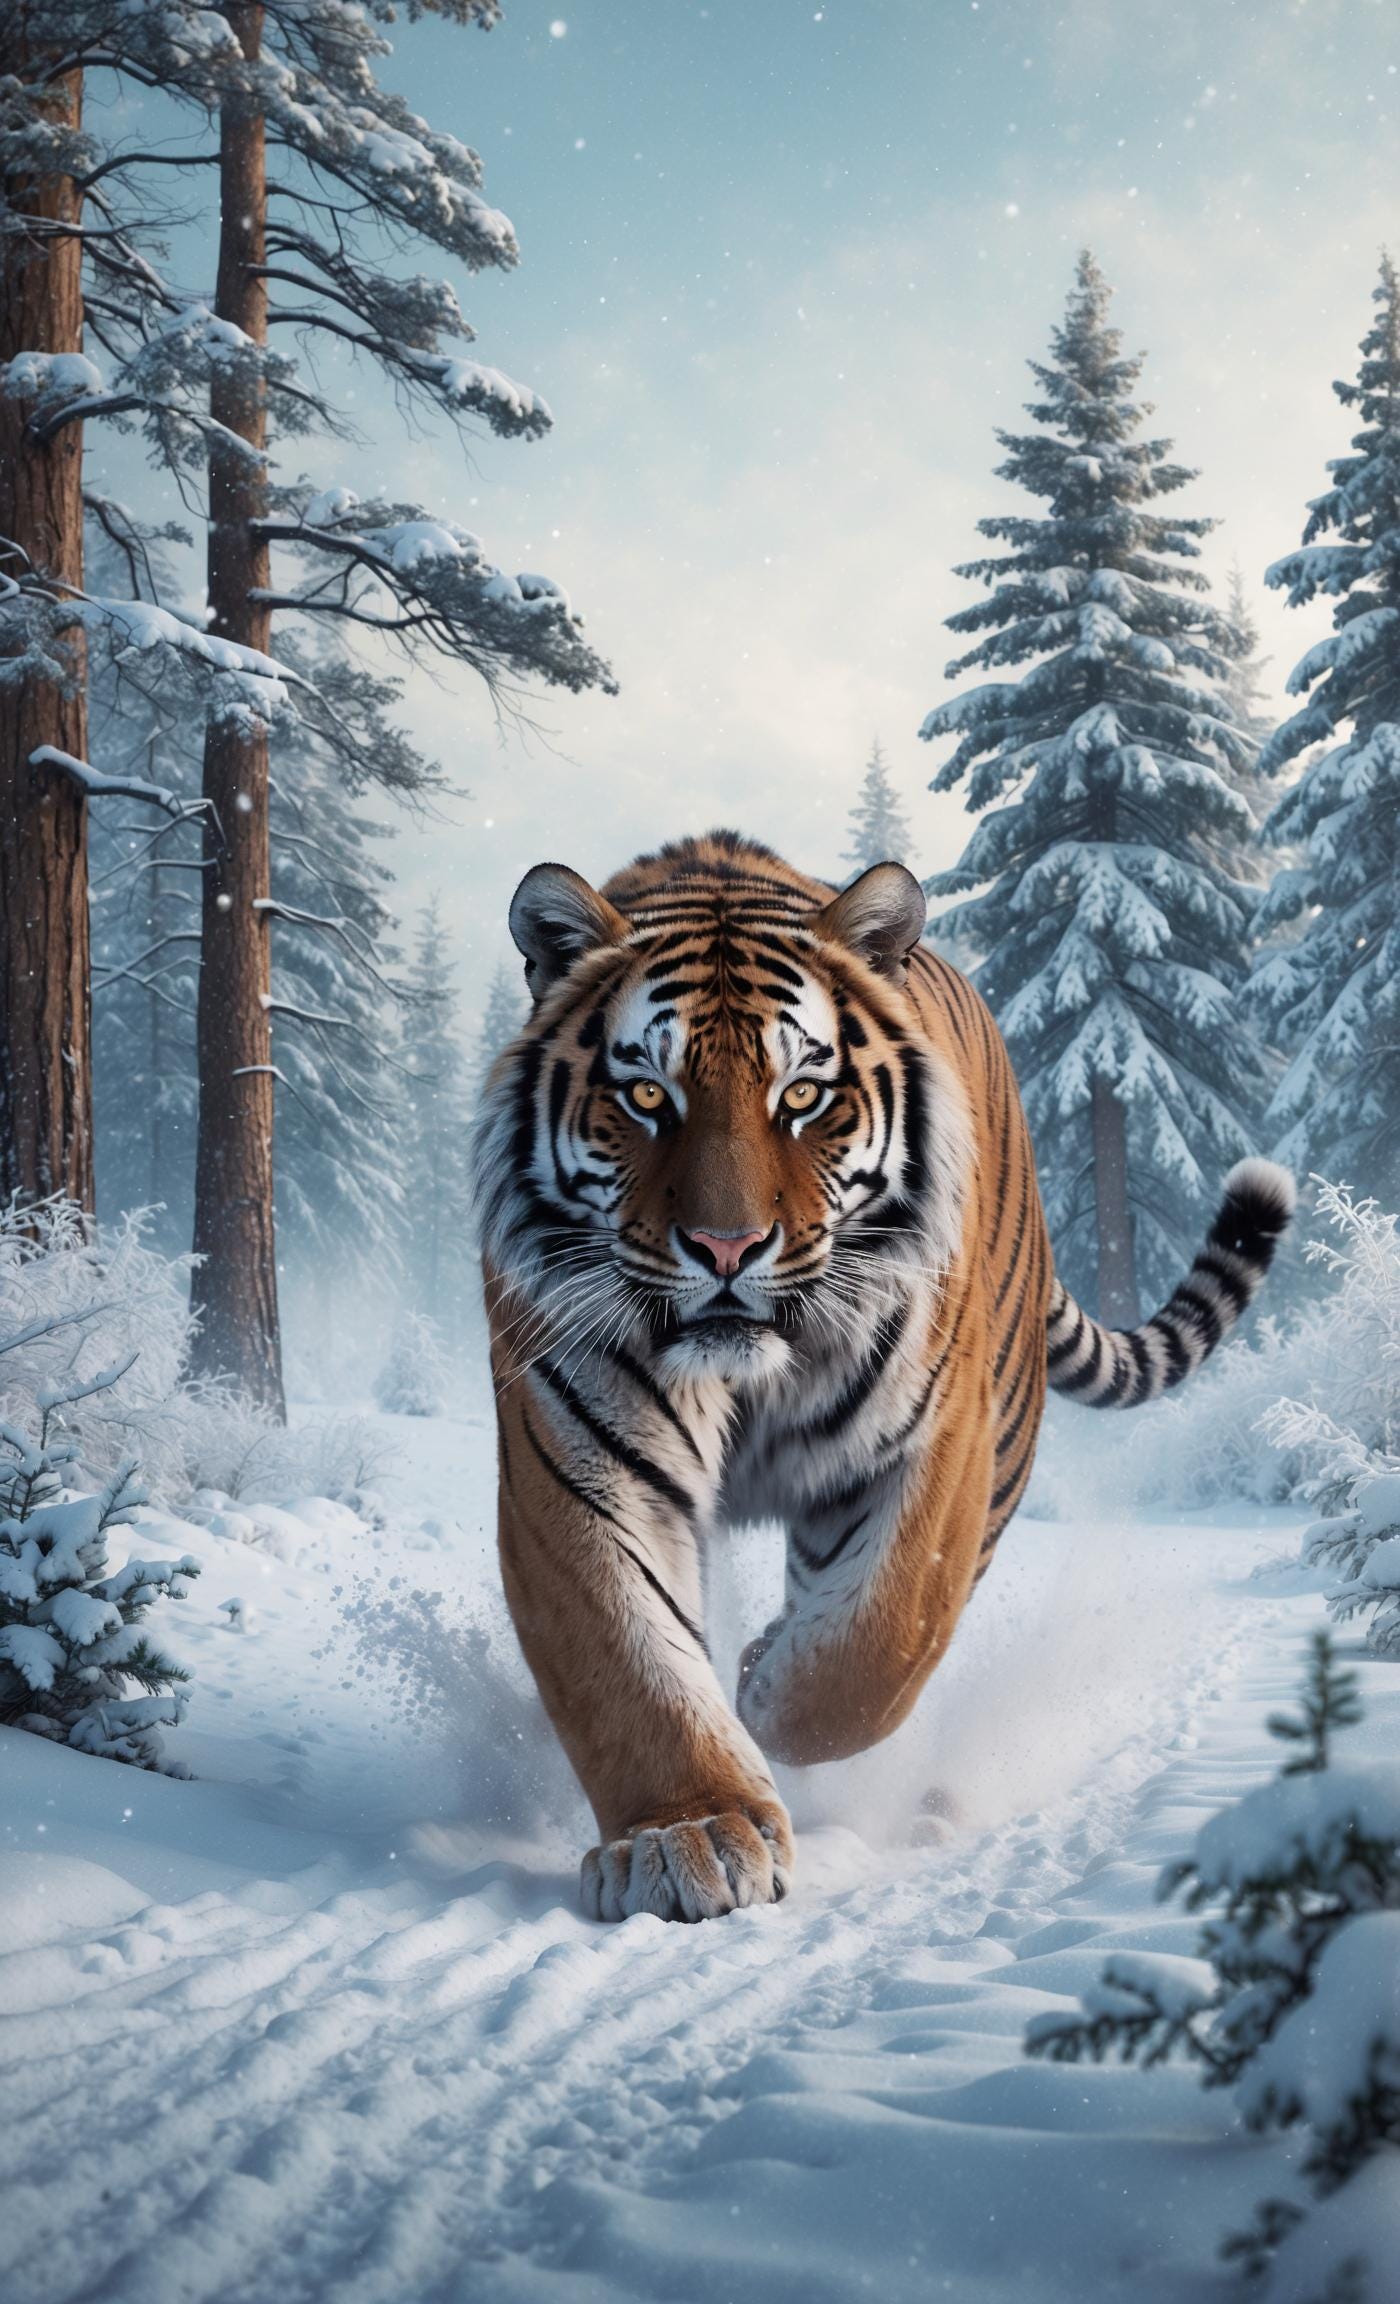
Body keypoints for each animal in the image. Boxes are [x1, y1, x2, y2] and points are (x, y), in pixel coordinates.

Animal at [474, 831, 1294, 1925]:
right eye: (646, 1096)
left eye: (801, 1096)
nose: (725, 1248)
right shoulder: (579, 1454)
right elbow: (627, 1656)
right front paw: (688, 1837)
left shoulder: (935, 1443)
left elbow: (874, 1644)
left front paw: (762, 1693)